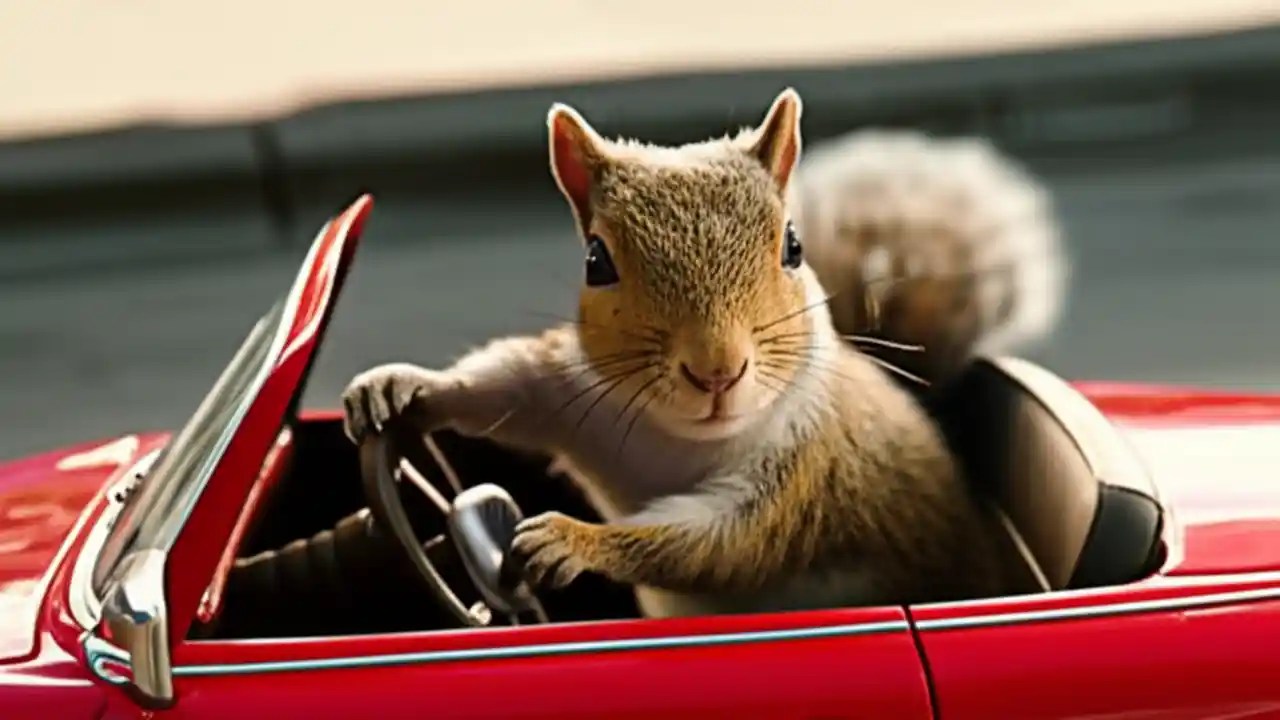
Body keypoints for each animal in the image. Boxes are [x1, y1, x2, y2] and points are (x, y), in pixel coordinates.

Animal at [341, 87, 1067, 618]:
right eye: (596, 260)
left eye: (793, 246)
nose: (717, 371)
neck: (676, 443)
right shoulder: (571, 392)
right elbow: (506, 388)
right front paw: (402, 385)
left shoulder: (800, 469)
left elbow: (718, 540)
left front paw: (574, 539)